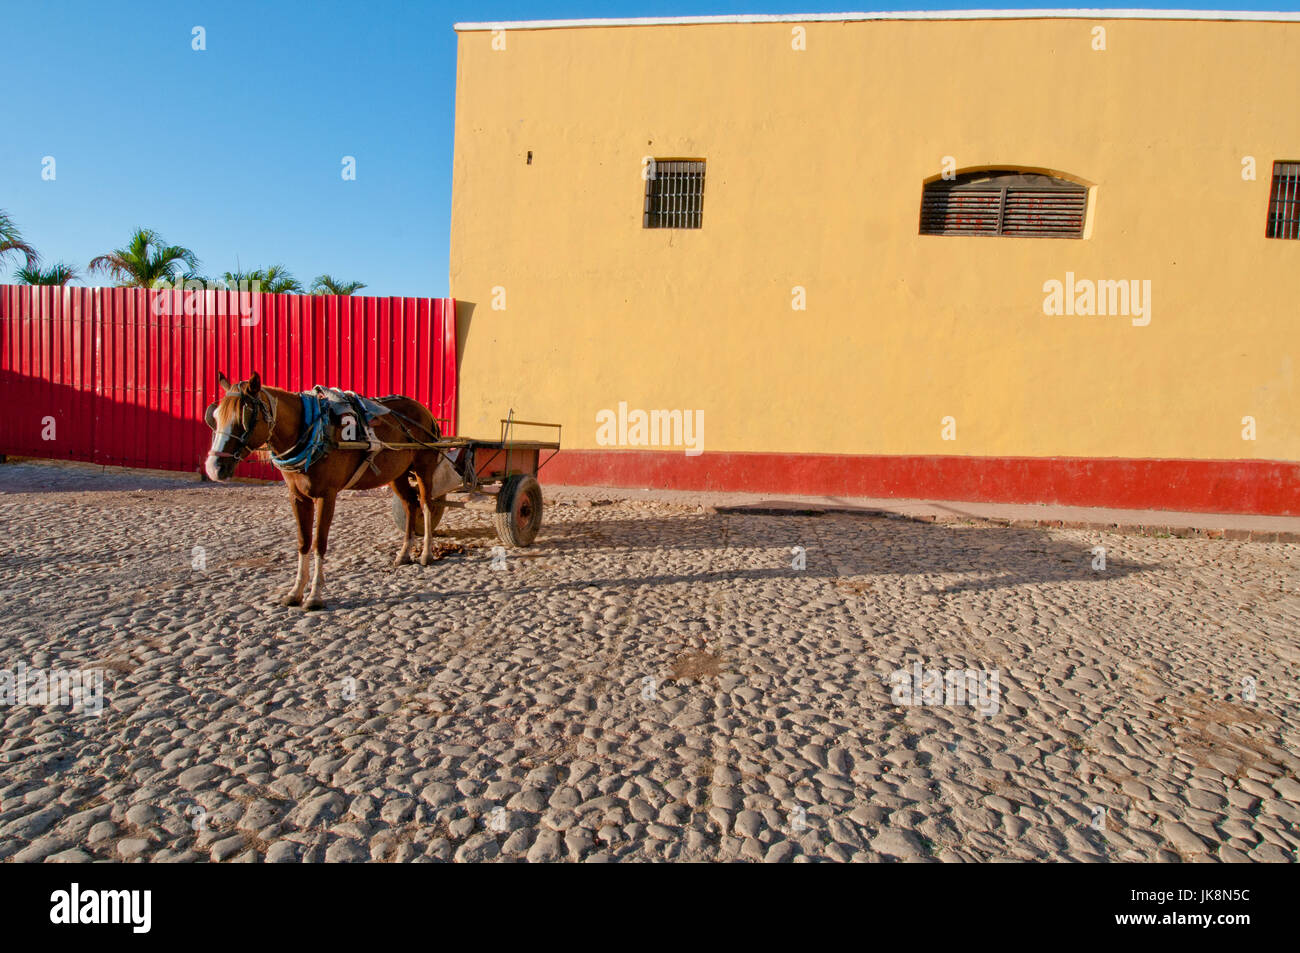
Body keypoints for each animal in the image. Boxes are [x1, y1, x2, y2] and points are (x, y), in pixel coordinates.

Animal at [202, 371, 454, 610]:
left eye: (244, 417)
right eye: (215, 417)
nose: (214, 467)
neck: (311, 431)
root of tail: (424, 411)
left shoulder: (326, 496)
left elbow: (318, 544)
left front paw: (314, 596)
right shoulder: (298, 497)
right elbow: (303, 541)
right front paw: (295, 592)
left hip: (423, 467)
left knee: (426, 504)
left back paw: (426, 553)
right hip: (396, 473)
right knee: (410, 504)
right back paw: (404, 554)